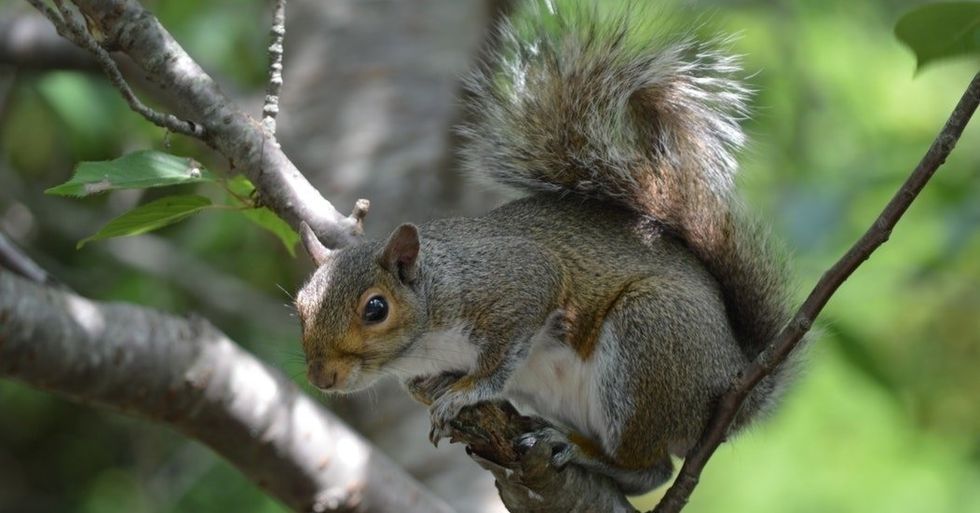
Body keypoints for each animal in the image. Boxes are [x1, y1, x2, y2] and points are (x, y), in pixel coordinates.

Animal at [295, 1, 796, 495]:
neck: (435, 300)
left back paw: (582, 452)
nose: (321, 377)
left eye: (376, 309)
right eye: (299, 307)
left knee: (650, 466)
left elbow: (505, 350)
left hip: (650, 342)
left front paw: (466, 392)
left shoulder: (519, 279)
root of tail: (733, 380)